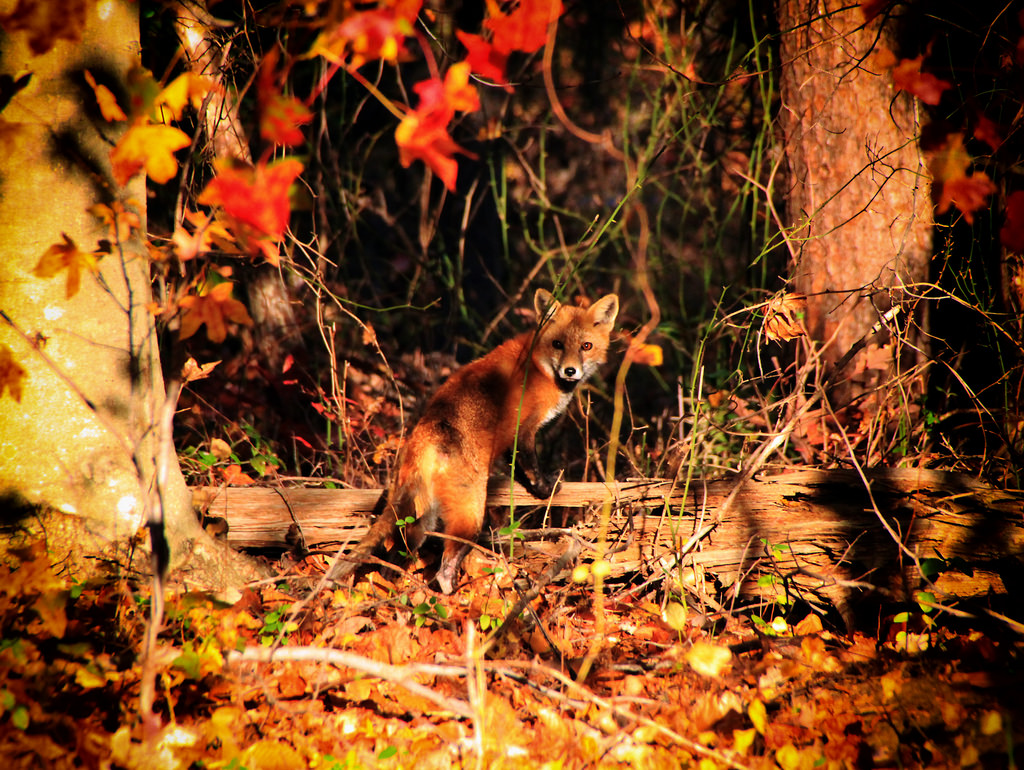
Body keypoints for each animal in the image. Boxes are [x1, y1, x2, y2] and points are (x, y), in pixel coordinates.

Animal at [329, 288, 619, 594]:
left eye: (586, 346)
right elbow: (531, 467)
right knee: (444, 571)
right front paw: (544, 489)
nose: (570, 371)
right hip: (470, 517)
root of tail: (427, 433)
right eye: (558, 344)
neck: (539, 366)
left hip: (419, 520)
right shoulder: (523, 429)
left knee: (396, 558)